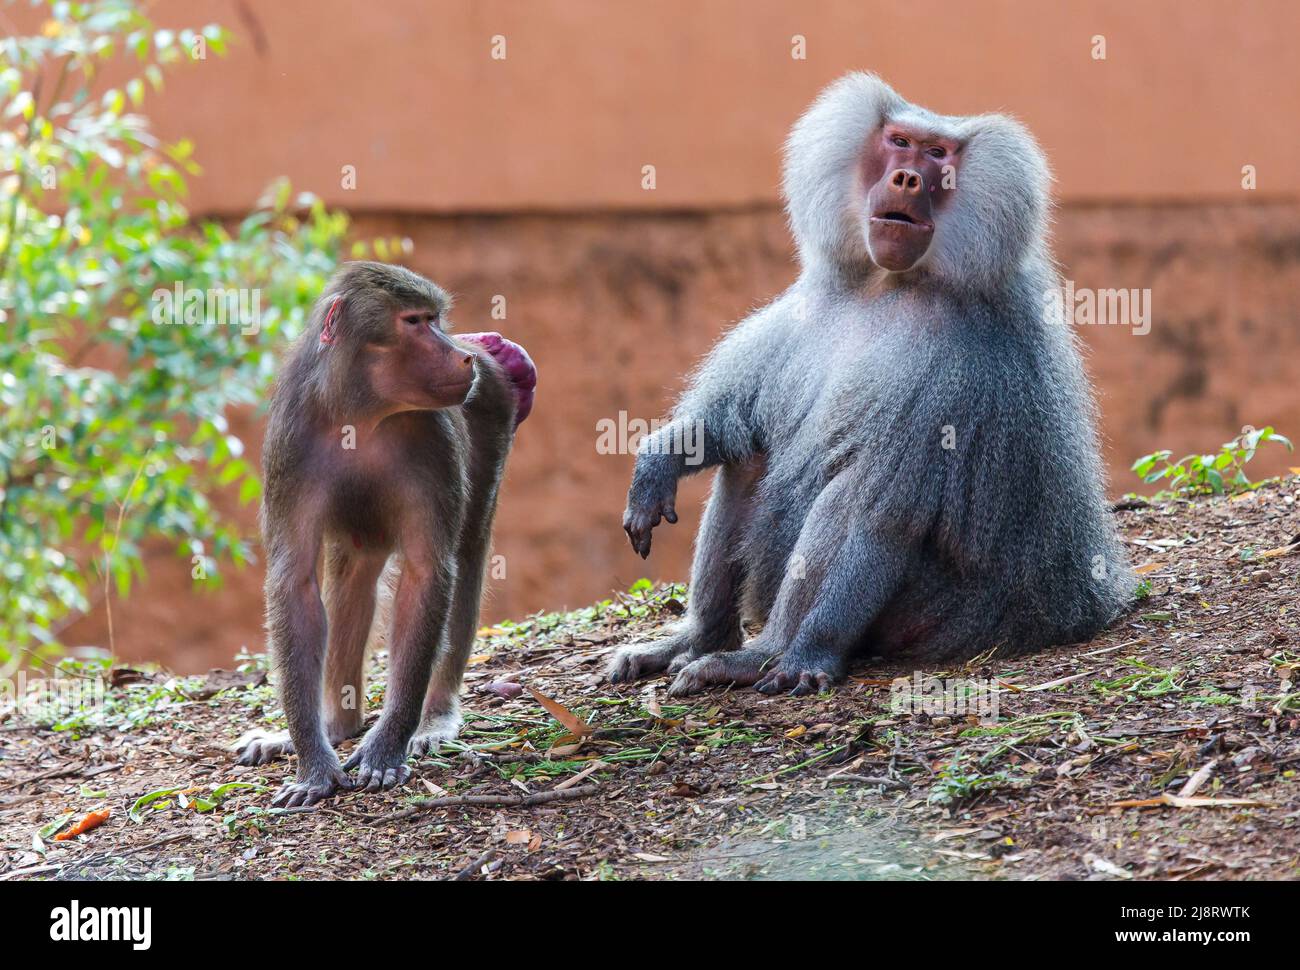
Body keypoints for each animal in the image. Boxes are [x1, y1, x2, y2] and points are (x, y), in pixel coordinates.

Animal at [235, 261, 536, 807]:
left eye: (434, 318)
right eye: (414, 322)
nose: (463, 355)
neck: (365, 412)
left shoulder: (434, 442)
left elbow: (426, 571)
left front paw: (387, 745)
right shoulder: (293, 440)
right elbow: (295, 583)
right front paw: (313, 762)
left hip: (495, 416)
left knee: (466, 556)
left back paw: (434, 717)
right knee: (353, 571)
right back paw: (336, 726)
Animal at [606, 73, 1133, 697]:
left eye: (938, 155)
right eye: (899, 142)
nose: (907, 178)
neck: (888, 283)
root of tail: (1065, 611)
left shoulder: (953, 370)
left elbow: (881, 514)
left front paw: (805, 656)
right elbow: (735, 421)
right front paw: (659, 459)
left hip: (942, 613)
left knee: (850, 500)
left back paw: (762, 655)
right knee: (748, 462)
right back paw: (694, 643)